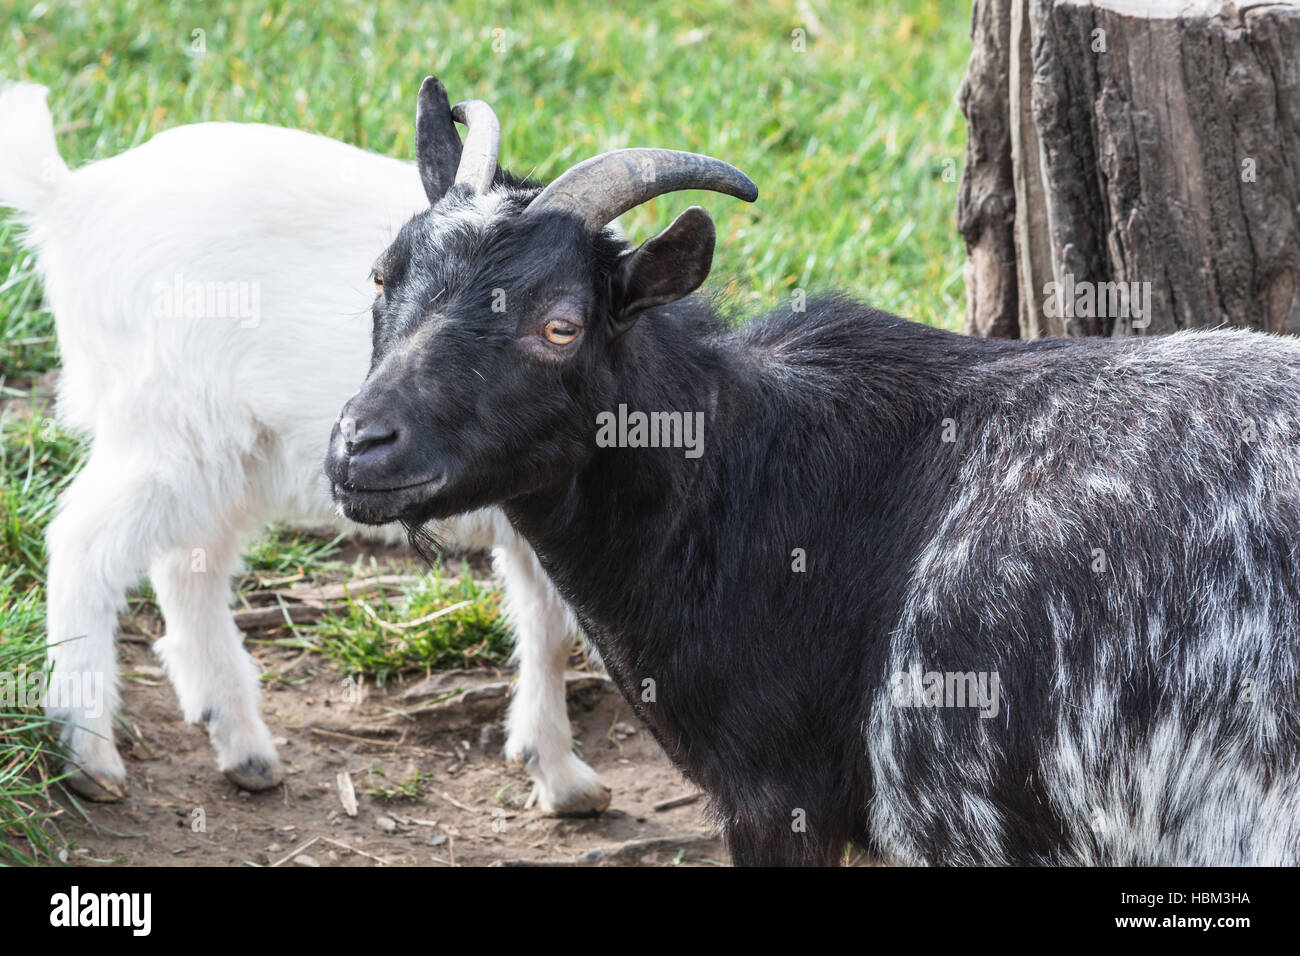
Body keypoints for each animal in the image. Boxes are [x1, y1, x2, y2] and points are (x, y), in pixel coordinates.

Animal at [0, 79, 610, 815]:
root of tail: (71, 199)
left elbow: (546, 628)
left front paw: (558, 774)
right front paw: (561, 773)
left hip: (230, 453)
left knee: (187, 563)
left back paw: (242, 747)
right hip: (168, 428)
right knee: (85, 545)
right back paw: (90, 755)